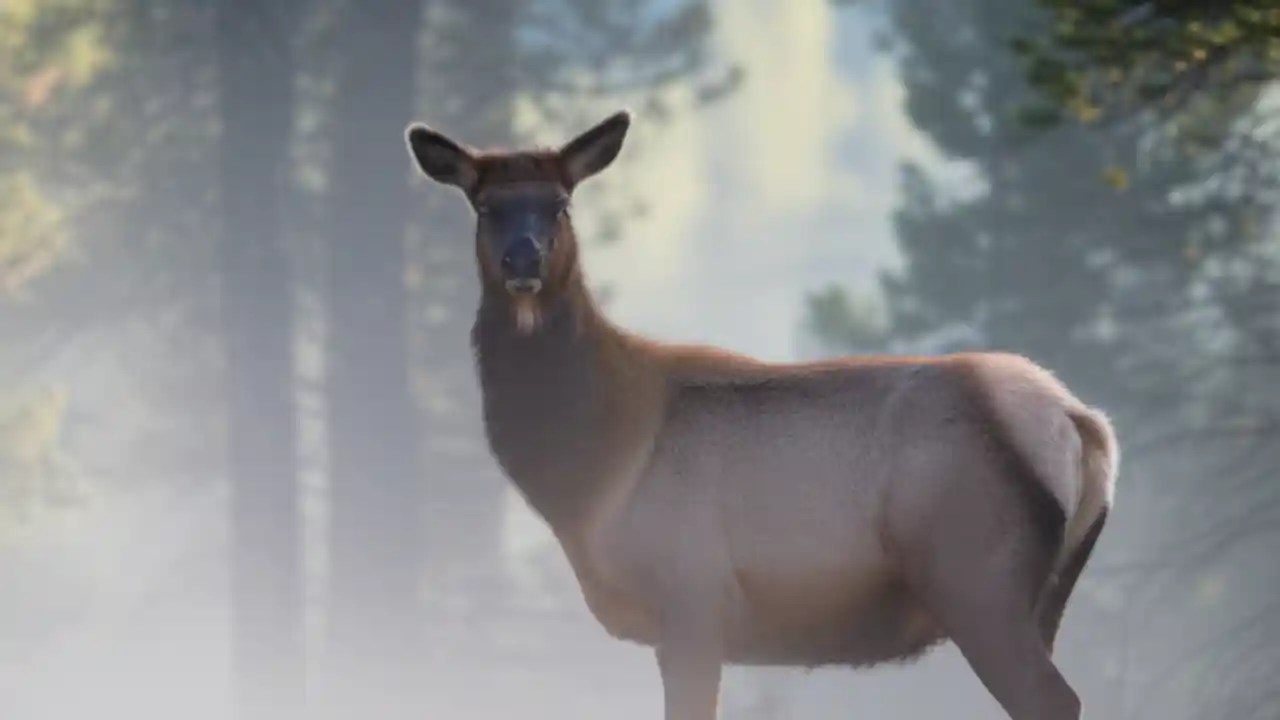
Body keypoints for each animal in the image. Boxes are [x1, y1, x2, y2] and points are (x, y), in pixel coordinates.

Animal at [404, 110, 1118, 720]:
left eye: (560, 203)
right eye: (485, 205)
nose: (522, 258)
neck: (595, 477)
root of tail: (1082, 426)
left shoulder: (691, 592)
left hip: (978, 574)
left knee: (1053, 699)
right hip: (1045, 595)